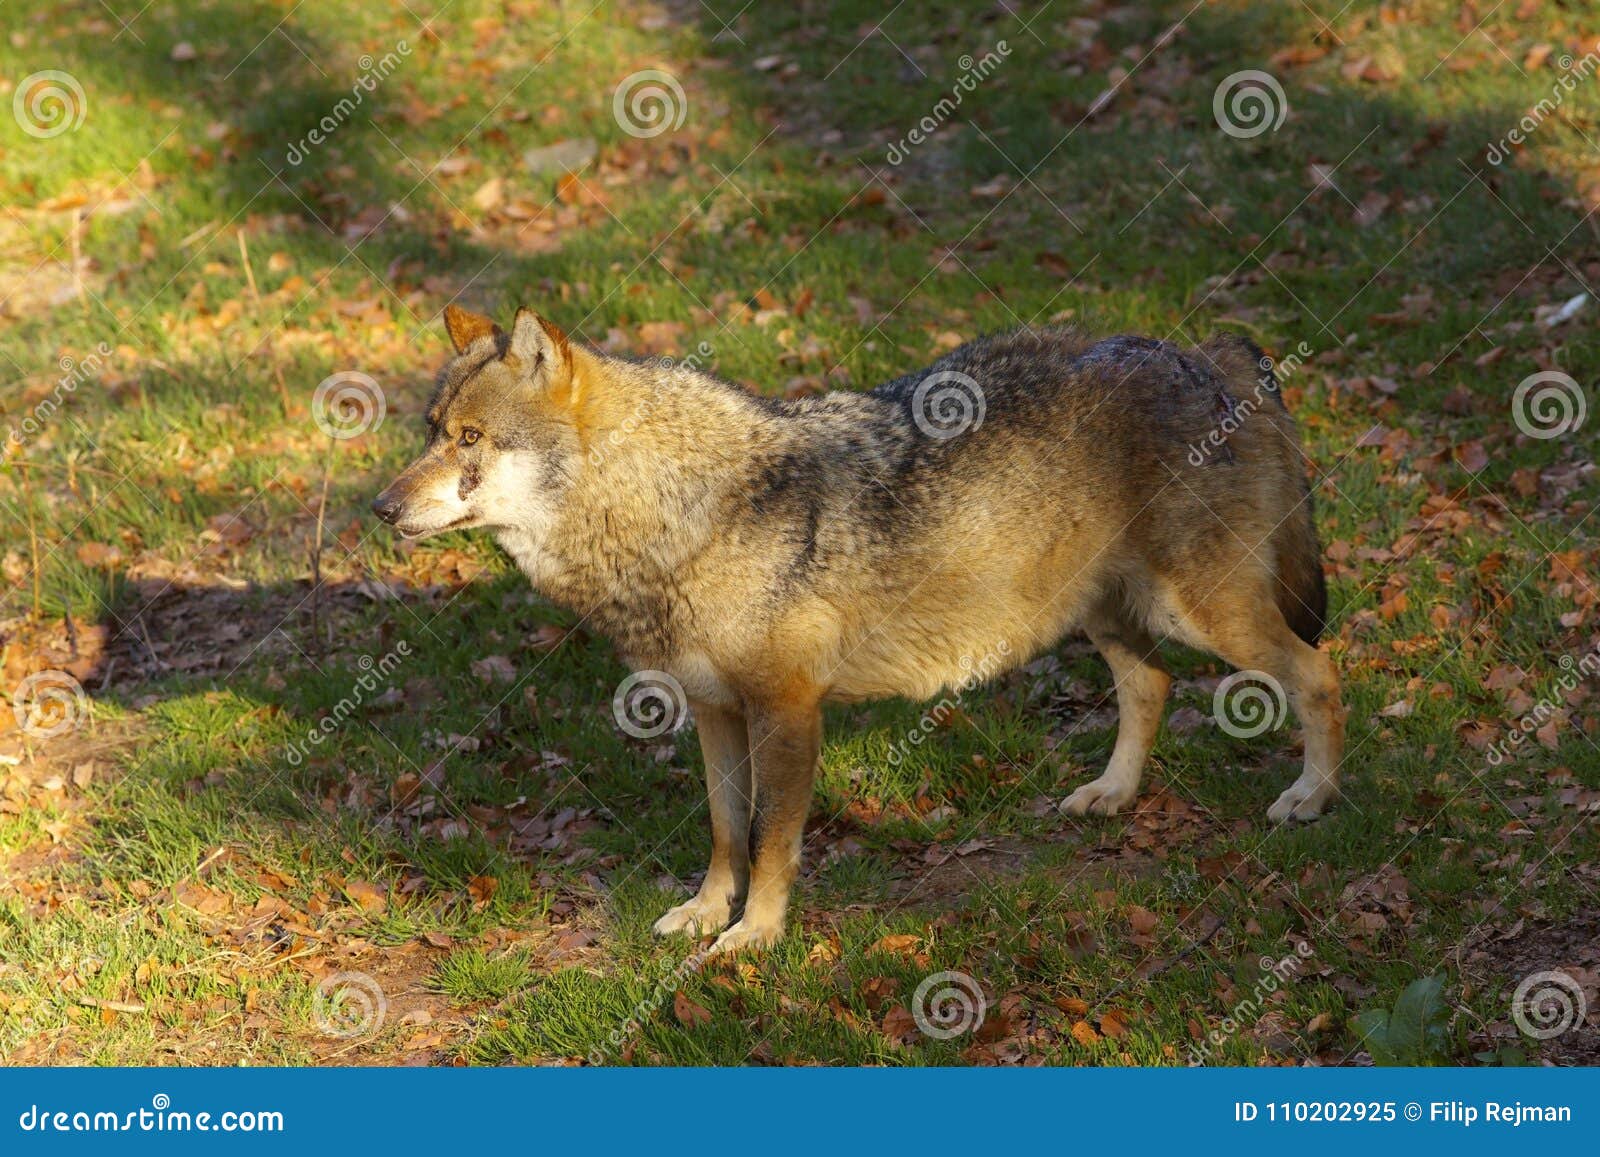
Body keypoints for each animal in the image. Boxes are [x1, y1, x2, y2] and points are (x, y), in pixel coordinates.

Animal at [372, 305, 1344, 956]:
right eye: (430, 432)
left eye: (471, 439)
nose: (380, 507)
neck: (678, 516)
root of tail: (1211, 352)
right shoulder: (713, 711)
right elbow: (724, 829)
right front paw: (705, 912)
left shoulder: (789, 712)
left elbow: (771, 841)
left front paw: (753, 939)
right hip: (1105, 614)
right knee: (1154, 683)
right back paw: (1113, 794)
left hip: (1203, 616)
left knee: (1321, 675)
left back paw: (1312, 798)